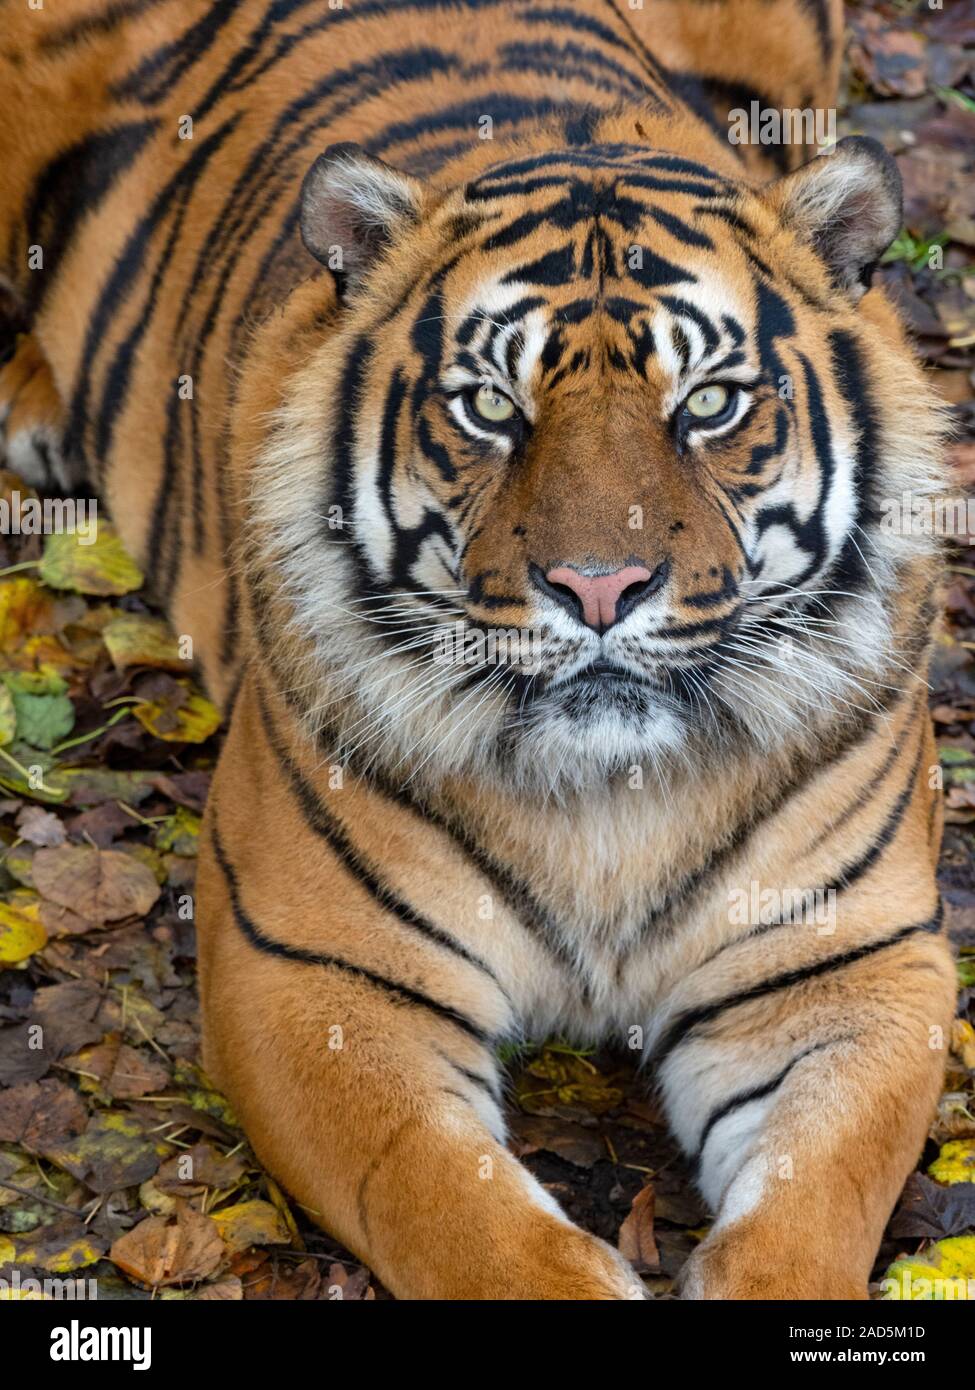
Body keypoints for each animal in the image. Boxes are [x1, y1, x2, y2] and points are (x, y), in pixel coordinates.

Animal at [0, 0, 956, 1300]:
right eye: (490, 408)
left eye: (708, 403)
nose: (598, 587)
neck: (614, 800)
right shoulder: (310, 969)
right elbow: (452, 1205)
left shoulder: (850, 966)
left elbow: (814, 1211)